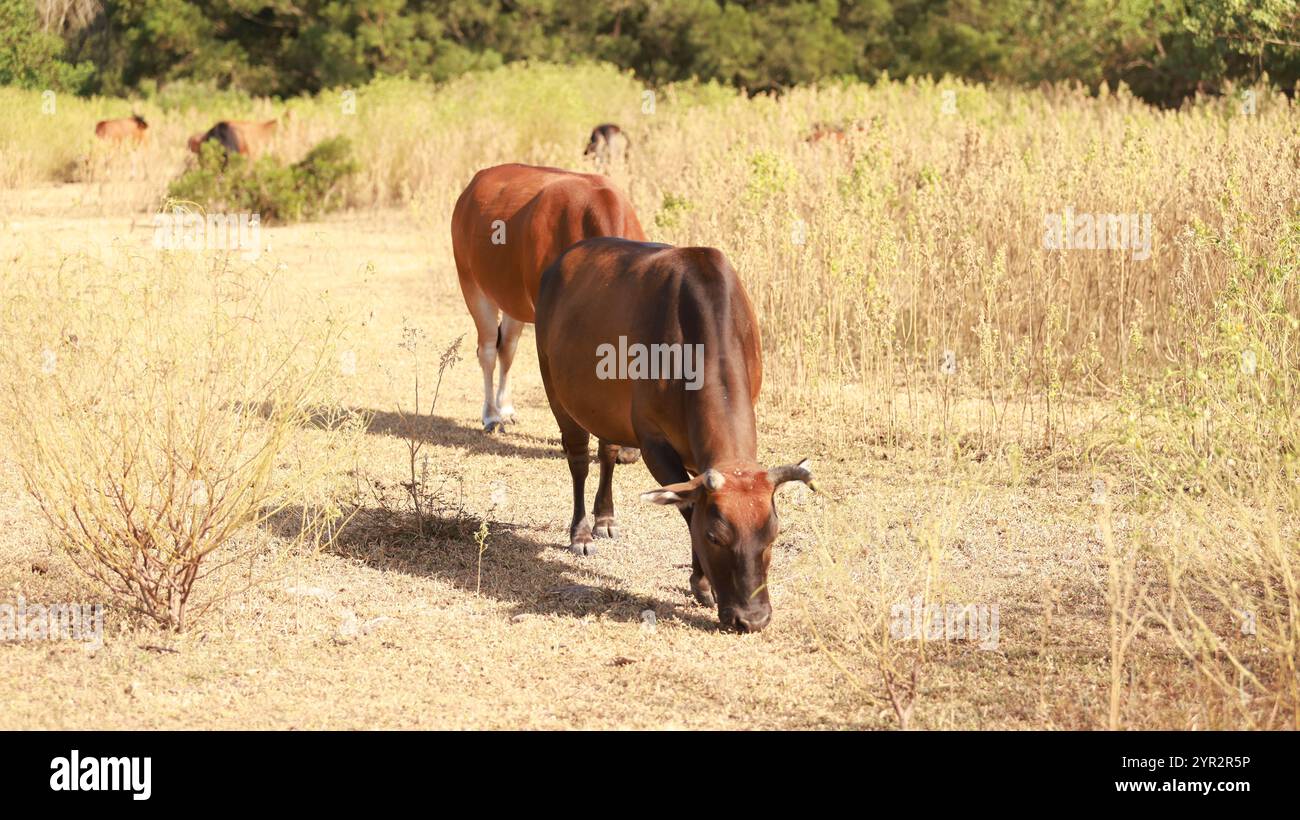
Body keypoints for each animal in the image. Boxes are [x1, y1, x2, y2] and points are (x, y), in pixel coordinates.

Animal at [450, 163, 647, 463]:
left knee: (507, 348)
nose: (628, 453)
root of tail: (473, 186)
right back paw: (491, 416)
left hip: (513, 302)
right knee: (487, 350)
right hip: (472, 284)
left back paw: (506, 410)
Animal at [534, 237, 816, 632]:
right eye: (715, 536)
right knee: (578, 461)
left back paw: (605, 517)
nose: (752, 619)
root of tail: (563, 259)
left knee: (607, 451)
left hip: (606, 409)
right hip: (556, 390)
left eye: (773, 533)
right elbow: (687, 506)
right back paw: (582, 532)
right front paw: (702, 583)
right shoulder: (654, 444)